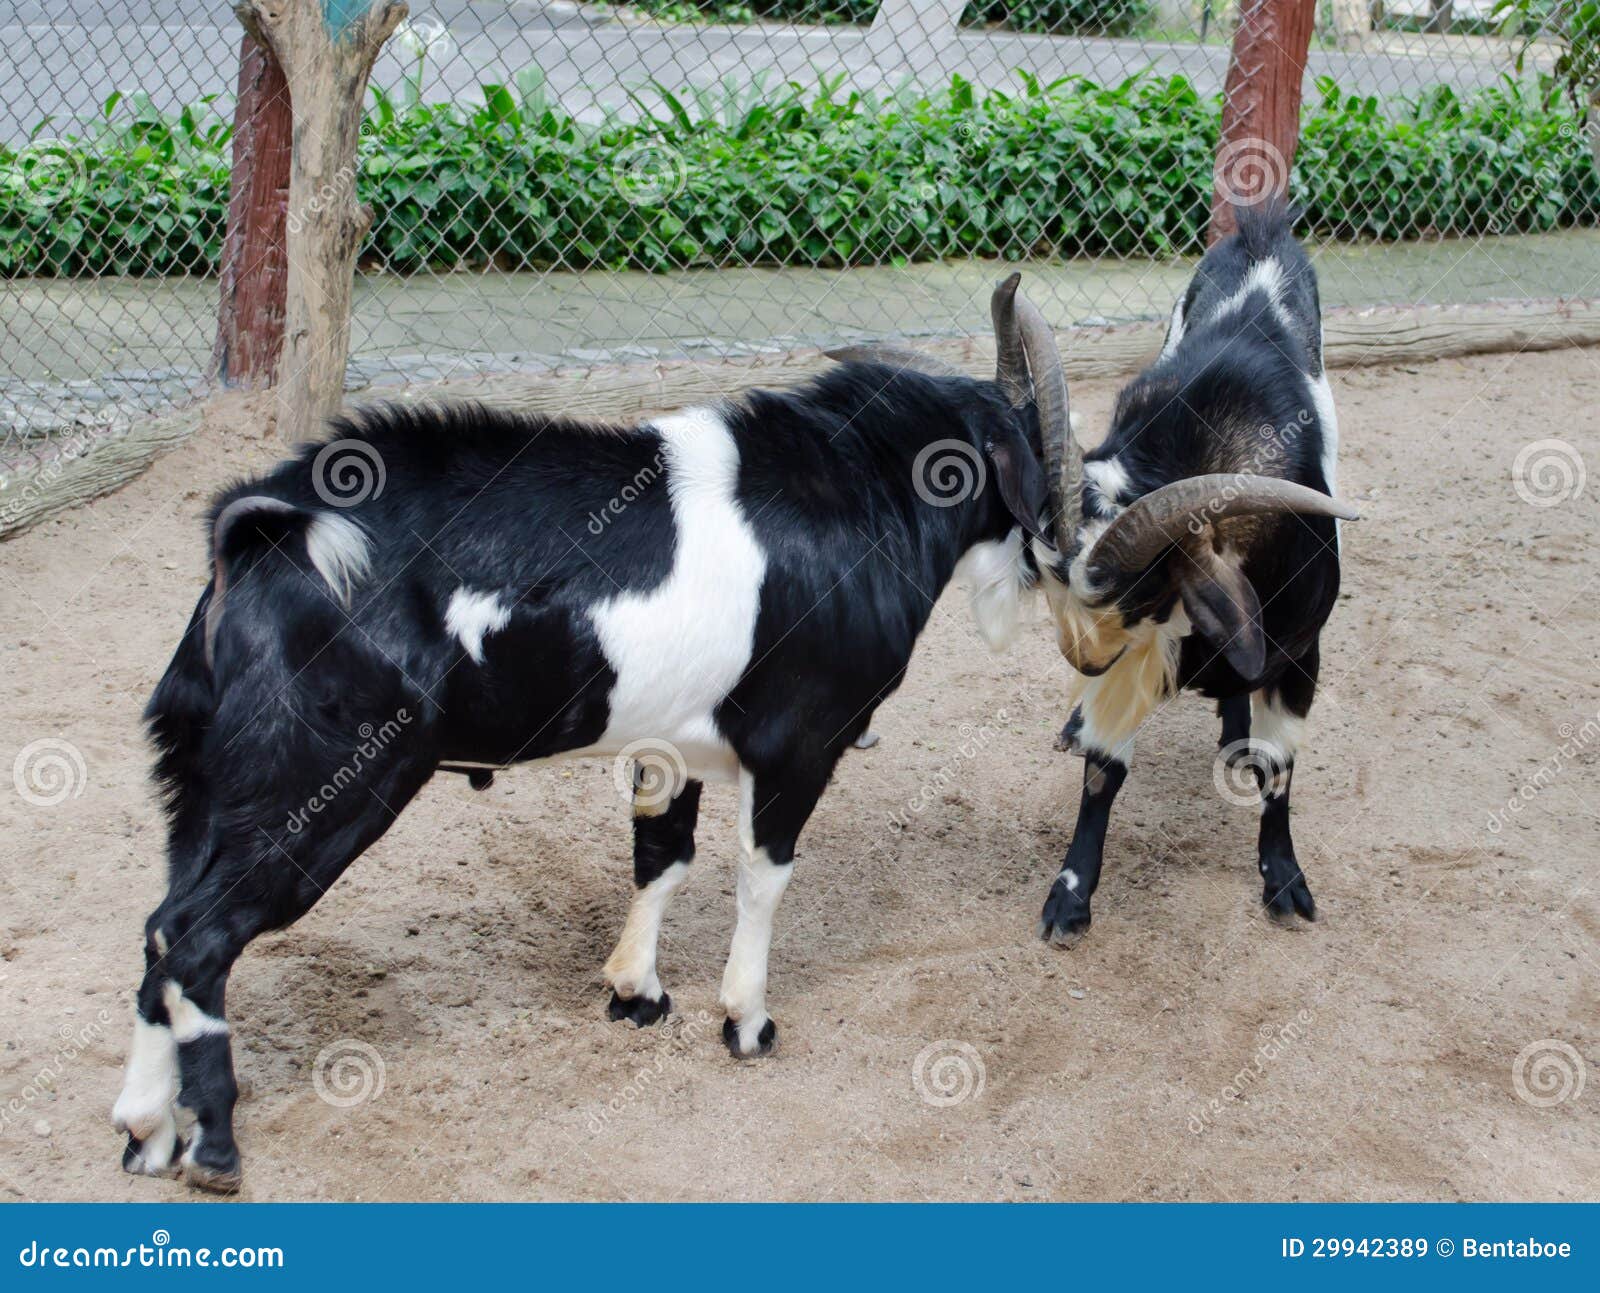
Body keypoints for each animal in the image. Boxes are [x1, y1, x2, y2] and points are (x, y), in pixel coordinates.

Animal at [113, 281, 1052, 1191]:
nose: (1055, 550)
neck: (867, 491)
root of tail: (252, 539)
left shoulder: (673, 741)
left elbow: (663, 855)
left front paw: (637, 993)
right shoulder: (799, 742)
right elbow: (763, 875)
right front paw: (746, 1020)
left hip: (203, 784)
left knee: (160, 924)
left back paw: (147, 1131)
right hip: (321, 779)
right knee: (198, 936)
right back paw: (214, 1150)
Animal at [1006, 207, 1359, 945]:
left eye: (1144, 592)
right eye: (1049, 584)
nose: (1080, 659)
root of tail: (1260, 232)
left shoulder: (1302, 656)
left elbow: (1281, 770)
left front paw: (1285, 881)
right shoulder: (1135, 663)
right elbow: (1103, 774)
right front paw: (1069, 898)